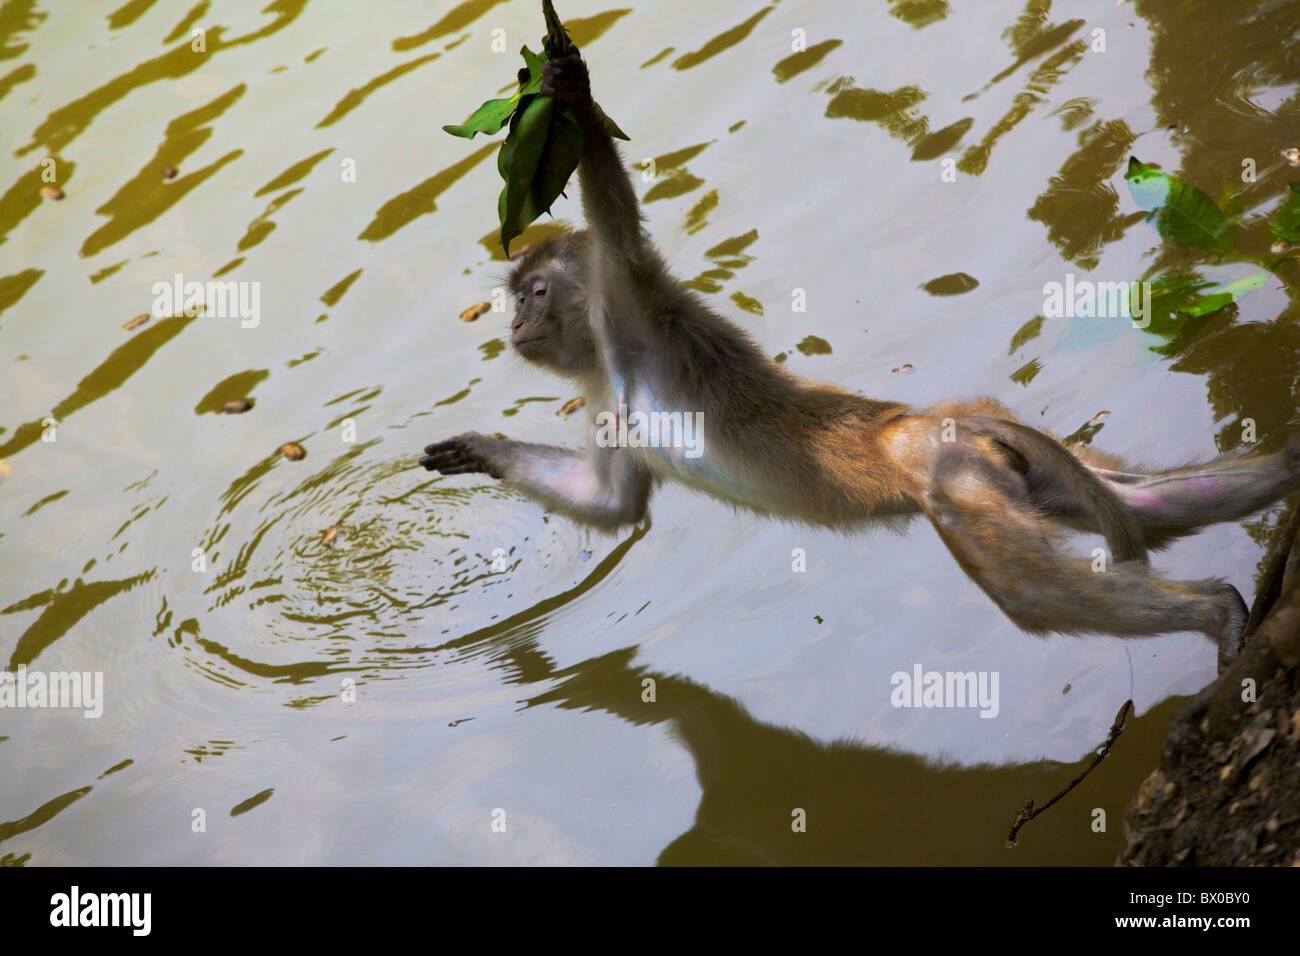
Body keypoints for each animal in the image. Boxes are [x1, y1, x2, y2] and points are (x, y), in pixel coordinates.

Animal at [422, 53, 1300, 673]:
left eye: (535, 292)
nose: (517, 326)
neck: (606, 354)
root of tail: (946, 419)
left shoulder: (634, 306)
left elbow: (614, 217)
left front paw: (566, 91)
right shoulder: (604, 394)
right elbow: (609, 505)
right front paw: (477, 451)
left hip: (956, 482)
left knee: (1030, 594)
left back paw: (1217, 612)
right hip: (1034, 471)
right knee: (1155, 503)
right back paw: (1270, 511)